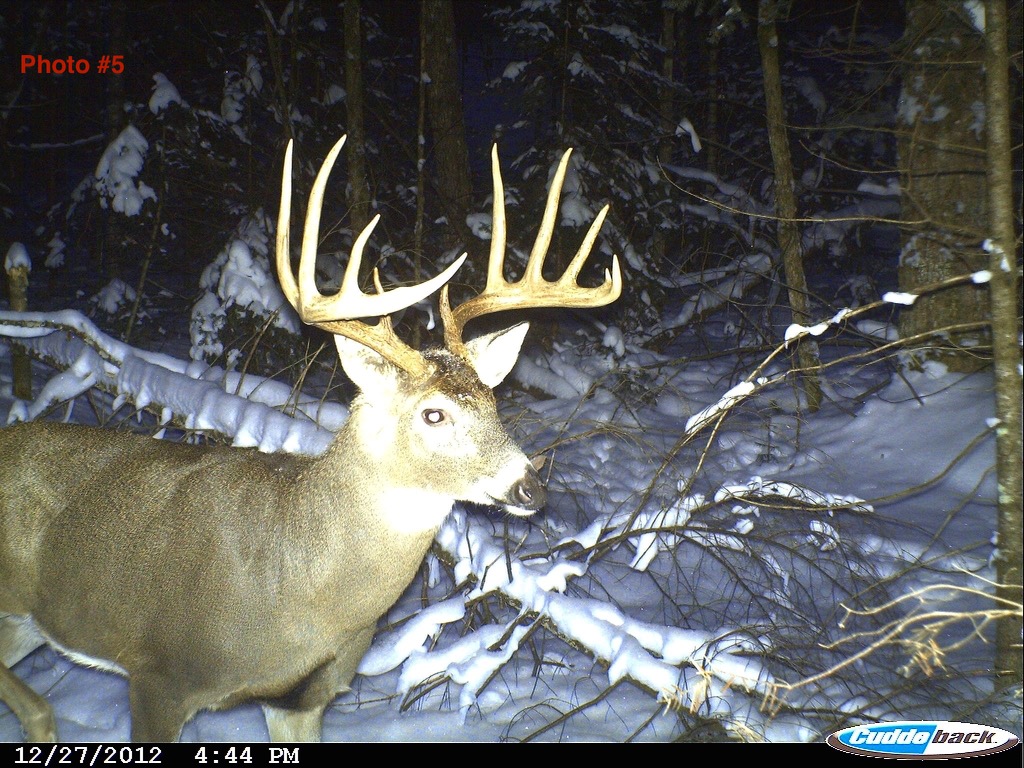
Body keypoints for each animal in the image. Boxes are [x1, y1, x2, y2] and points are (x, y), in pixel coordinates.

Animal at [0, 135, 621, 743]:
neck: (298, 593)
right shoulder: (160, 673)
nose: (531, 488)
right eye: (433, 414)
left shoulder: (303, 695)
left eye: (494, 403)